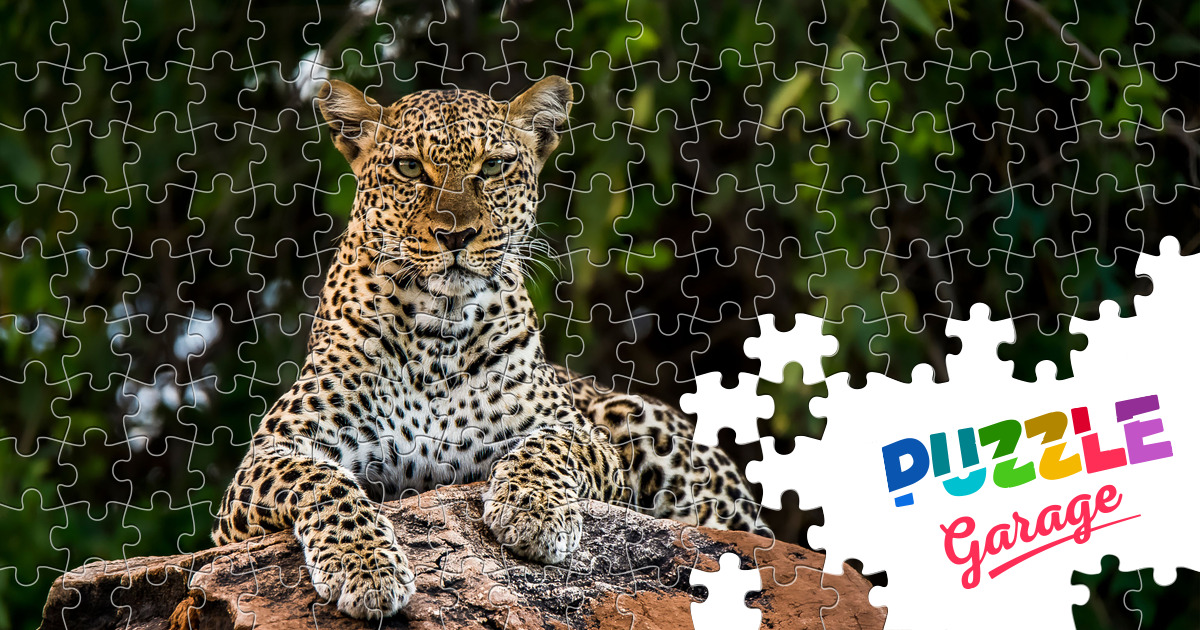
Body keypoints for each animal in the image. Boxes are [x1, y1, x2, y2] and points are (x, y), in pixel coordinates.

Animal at [211, 75, 761, 620]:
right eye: (410, 167)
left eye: (493, 166)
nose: (456, 235)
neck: (437, 334)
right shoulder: (268, 457)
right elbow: (324, 482)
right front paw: (364, 566)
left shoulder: (585, 436)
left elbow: (549, 446)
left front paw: (533, 510)